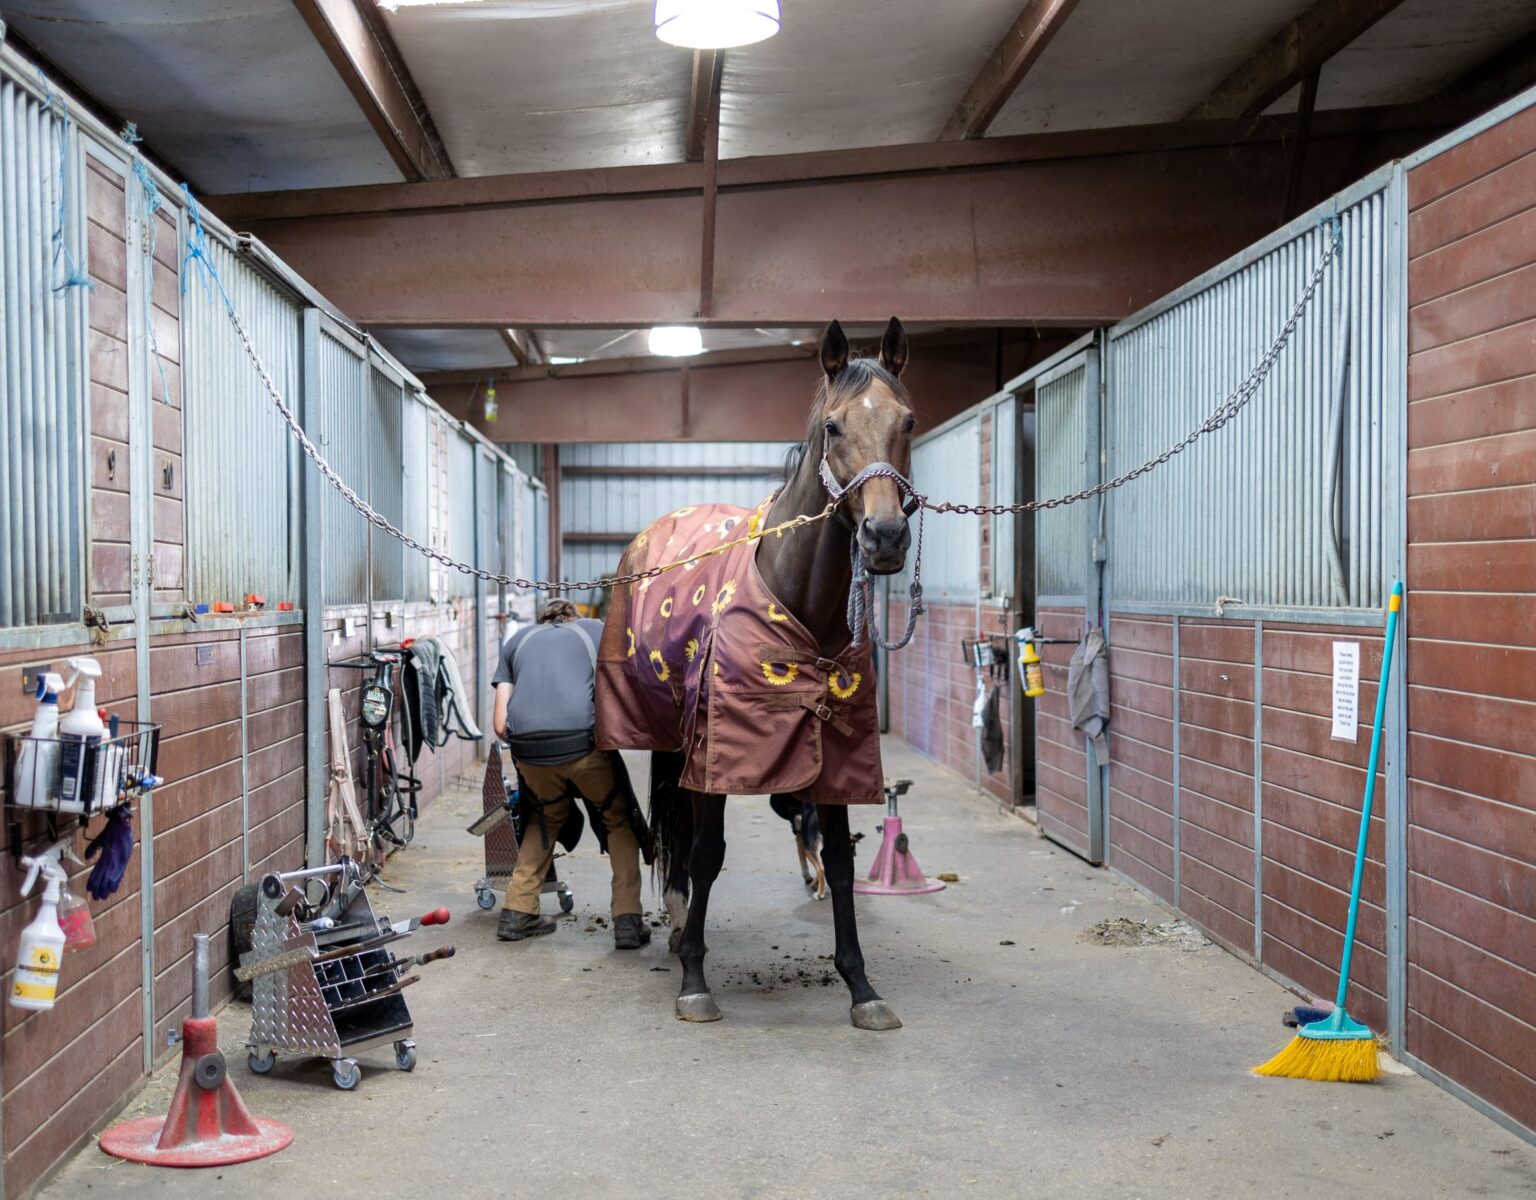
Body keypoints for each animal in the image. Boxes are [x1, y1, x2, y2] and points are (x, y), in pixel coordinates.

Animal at [594, 317, 916, 1030]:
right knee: (680, 830)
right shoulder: (718, 752)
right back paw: (678, 921)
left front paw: (862, 986)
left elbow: (842, 862)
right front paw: (694, 979)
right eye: (833, 426)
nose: (884, 537)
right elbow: (707, 853)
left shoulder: (837, 752)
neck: (800, 603)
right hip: (671, 734)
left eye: (907, 421)